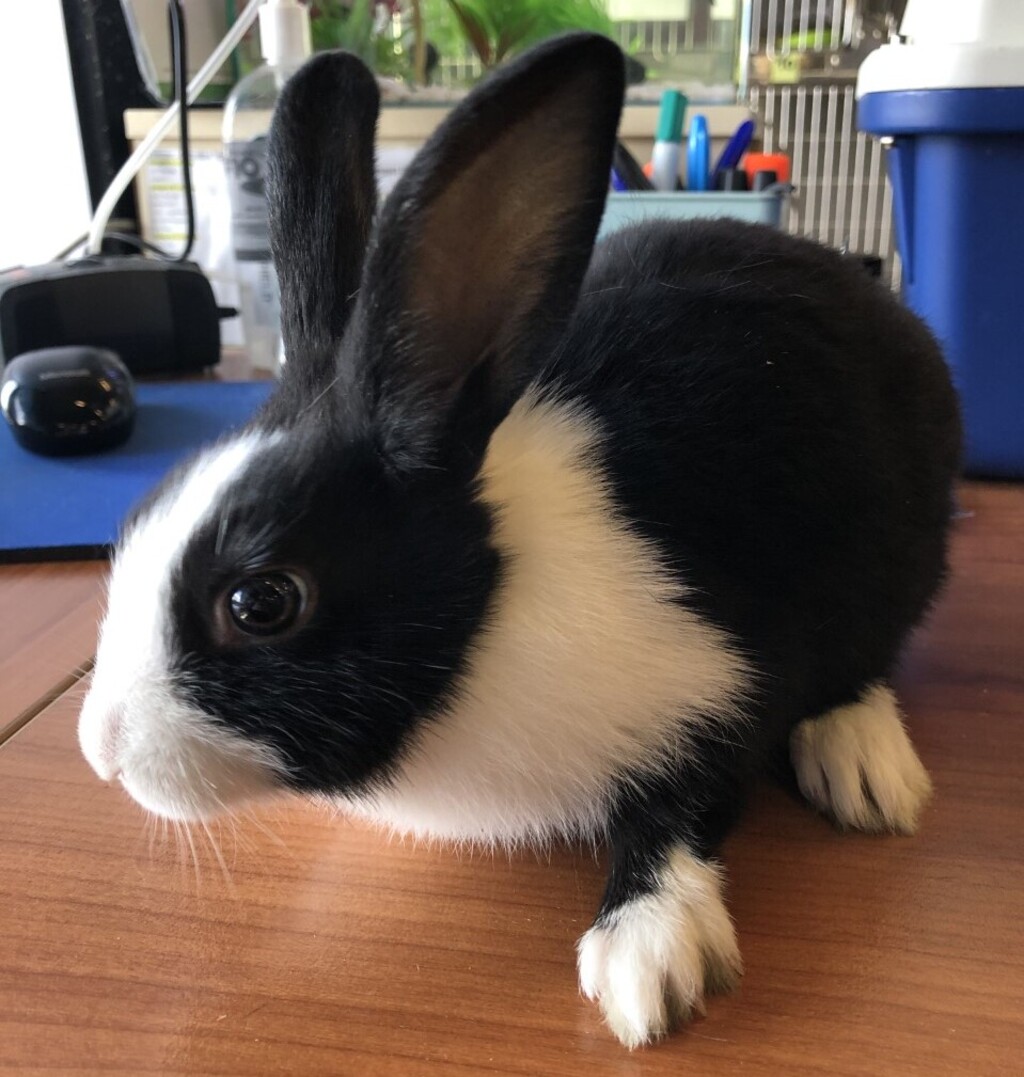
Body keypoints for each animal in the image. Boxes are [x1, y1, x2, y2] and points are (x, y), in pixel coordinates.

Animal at [78, 34, 961, 1049]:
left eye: (261, 601)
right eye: (139, 514)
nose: (101, 750)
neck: (487, 612)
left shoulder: (723, 676)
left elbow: (686, 810)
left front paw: (645, 957)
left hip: (897, 554)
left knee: (870, 655)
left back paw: (866, 767)